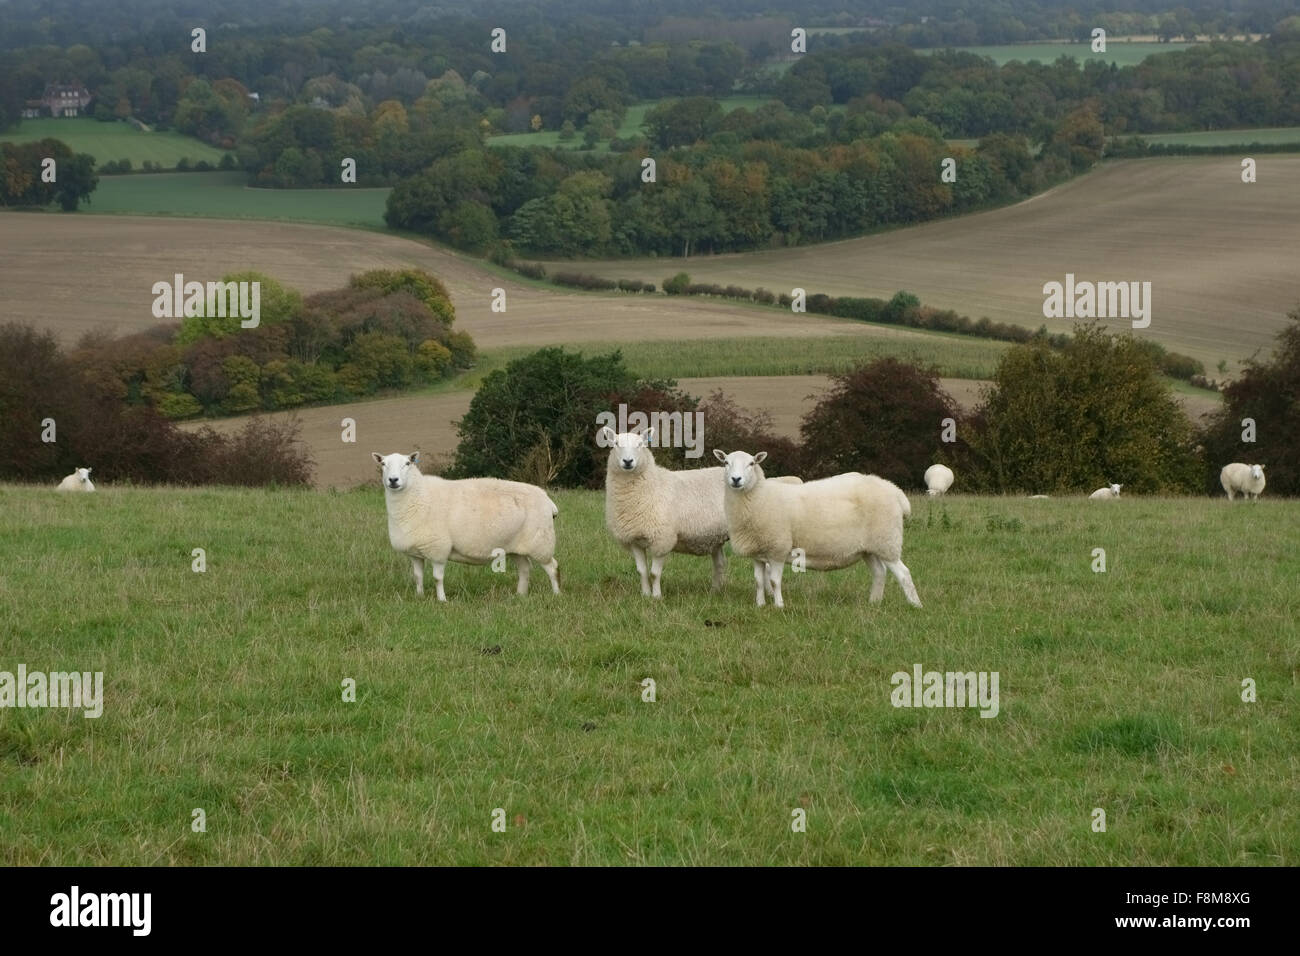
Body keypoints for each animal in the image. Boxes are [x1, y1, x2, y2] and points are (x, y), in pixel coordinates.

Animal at [371, 451, 559, 601]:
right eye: (383, 464)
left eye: (407, 463)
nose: (393, 480)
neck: (418, 495)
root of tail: (548, 500)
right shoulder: (415, 552)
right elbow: (417, 577)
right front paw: (419, 597)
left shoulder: (438, 549)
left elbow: (437, 578)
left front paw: (442, 600)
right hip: (516, 547)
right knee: (525, 569)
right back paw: (520, 595)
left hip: (541, 542)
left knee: (552, 567)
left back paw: (556, 594)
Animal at [714, 449, 921, 609]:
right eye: (725, 462)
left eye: (751, 463)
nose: (736, 479)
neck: (759, 497)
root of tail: (895, 491)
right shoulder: (758, 551)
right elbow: (758, 581)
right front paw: (760, 604)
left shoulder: (778, 548)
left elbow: (774, 581)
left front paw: (779, 605)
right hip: (869, 548)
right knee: (879, 572)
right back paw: (874, 603)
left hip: (886, 541)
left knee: (904, 574)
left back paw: (915, 605)